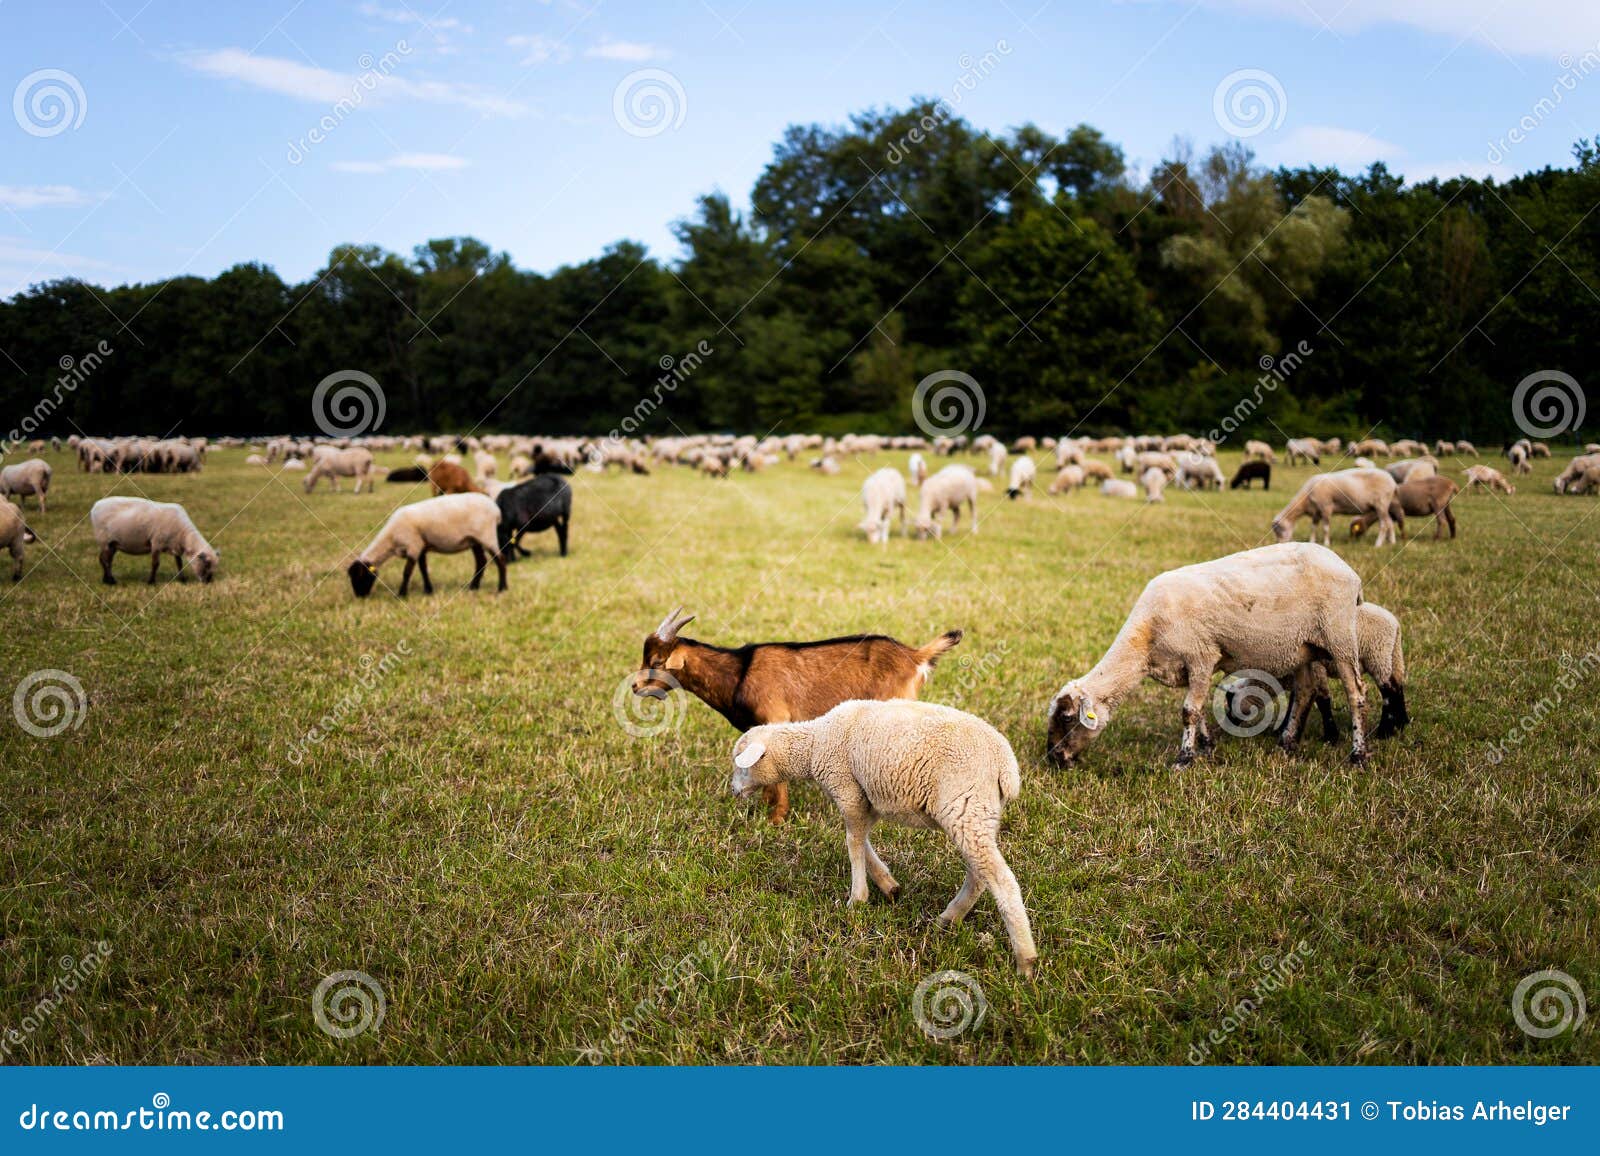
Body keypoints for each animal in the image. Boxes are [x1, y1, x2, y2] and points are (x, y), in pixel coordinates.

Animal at [90, 497, 219, 585]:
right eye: (207, 563)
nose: (208, 582)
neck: (184, 536)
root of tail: (95, 505)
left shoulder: (175, 546)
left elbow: (179, 564)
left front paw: (182, 580)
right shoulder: (156, 543)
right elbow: (155, 564)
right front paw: (151, 582)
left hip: (113, 543)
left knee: (106, 560)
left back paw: (106, 580)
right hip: (104, 540)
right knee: (105, 560)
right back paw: (110, 581)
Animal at [347, 493, 505, 597]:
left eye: (360, 576)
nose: (359, 596)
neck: (391, 540)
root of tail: (496, 509)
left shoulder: (413, 545)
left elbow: (407, 572)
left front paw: (401, 594)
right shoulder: (421, 546)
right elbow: (423, 569)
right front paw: (428, 590)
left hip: (487, 536)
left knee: (500, 560)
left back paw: (502, 588)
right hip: (473, 540)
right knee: (481, 561)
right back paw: (474, 587)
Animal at [635, 607, 963, 823]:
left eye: (657, 661)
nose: (636, 686)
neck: (738, 672)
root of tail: (916, 656)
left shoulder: (774, 719)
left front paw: (776, 819)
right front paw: (767, 806)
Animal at [730, 699, 1036, 976]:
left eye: (743, 767)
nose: (734, 791)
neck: (815, 743)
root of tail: (1005, 765)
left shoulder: (847, 788)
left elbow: (853, 842)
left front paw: (857, 898)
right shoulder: (868, 798)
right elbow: (861, 839)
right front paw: (888, 885)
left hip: (965, 805)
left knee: (1000, 880)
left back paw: (1025, 961)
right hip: (979, 812)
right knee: (979, 875)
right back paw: (949, 919)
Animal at [1046, 541, 1371, 767]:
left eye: (1067, 718)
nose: (1053, 758)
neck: (1146, 640)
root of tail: (1349, 571)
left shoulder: (1201, 657)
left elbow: (1188, 710)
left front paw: (1184, 759)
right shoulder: (1187, 667)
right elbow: (1198, 708)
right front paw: (1205, 744)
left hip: (1340, 638)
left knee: (1355, 693)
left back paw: (1357, 755)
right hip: (1302, 647)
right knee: (1304, 691)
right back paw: (1287, 743)